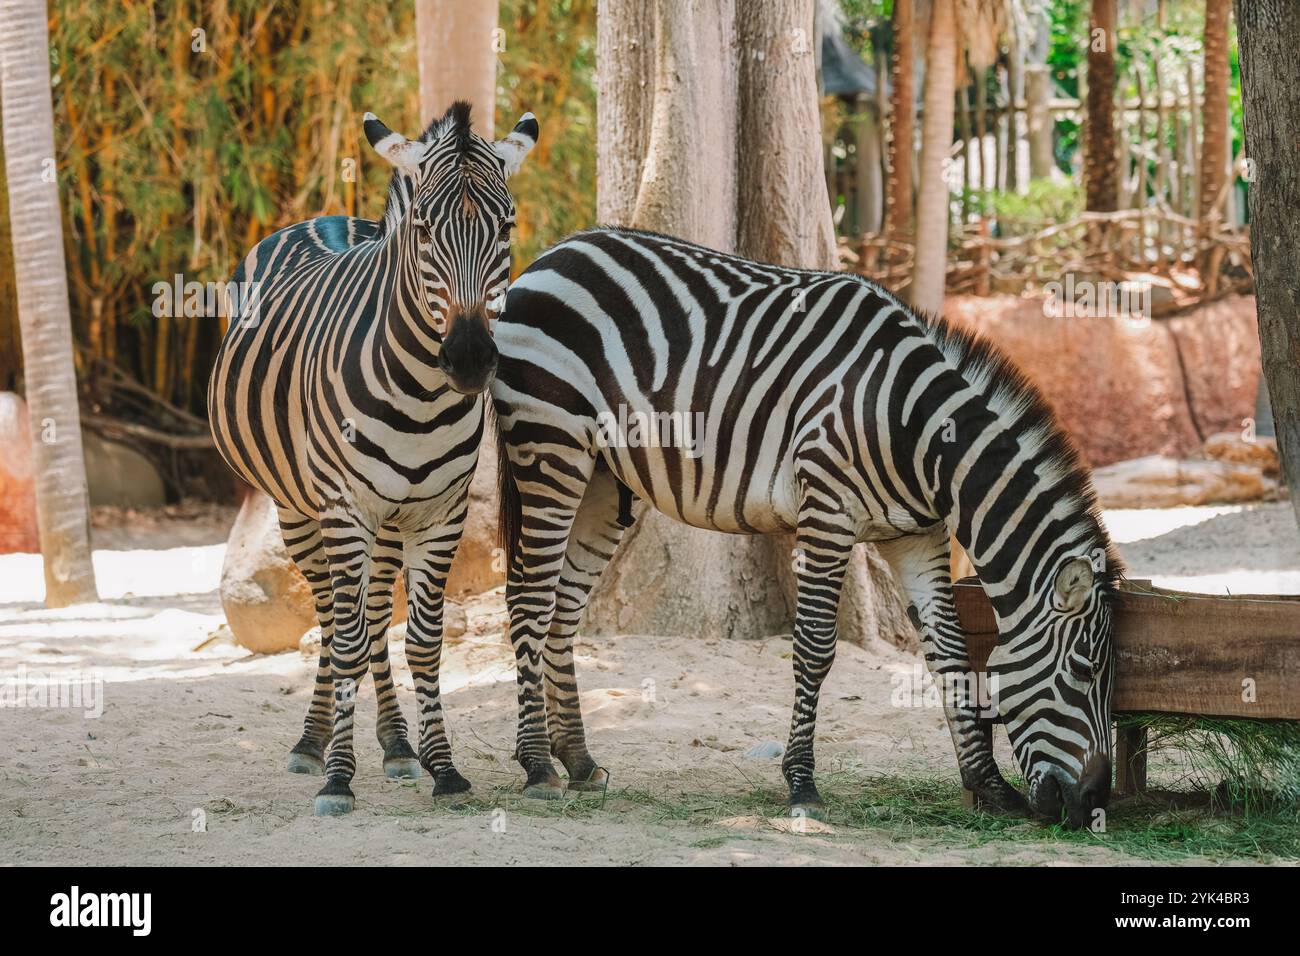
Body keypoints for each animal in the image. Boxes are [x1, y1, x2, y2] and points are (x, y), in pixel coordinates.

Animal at [208, 102, 537, 815]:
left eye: (506, 227)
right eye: (423, 229)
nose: (470, 359)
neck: (420, 397)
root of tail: (325, 218)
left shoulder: (440, 514)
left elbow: (422, 640)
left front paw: (442, 765)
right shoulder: (343, 508)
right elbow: (349, 635)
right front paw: (337, 775)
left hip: (389, 519)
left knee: (372, 614)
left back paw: (396, 745)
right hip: (299, 509)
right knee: (334, 617)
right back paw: (312, 744)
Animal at [491, 227, 1121, 828]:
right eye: (1085, 670)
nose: (1094, 803)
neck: (919, 433)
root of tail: (555, 252)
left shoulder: (917, 537)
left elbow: (951, 652)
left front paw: (988, 785)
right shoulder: (827, 512)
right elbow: (816, 649)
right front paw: (802, 785)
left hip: (603, 479)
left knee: (562, 609)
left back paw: (578, 761)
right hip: (551, 447)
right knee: (529, 599)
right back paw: (537, 765)